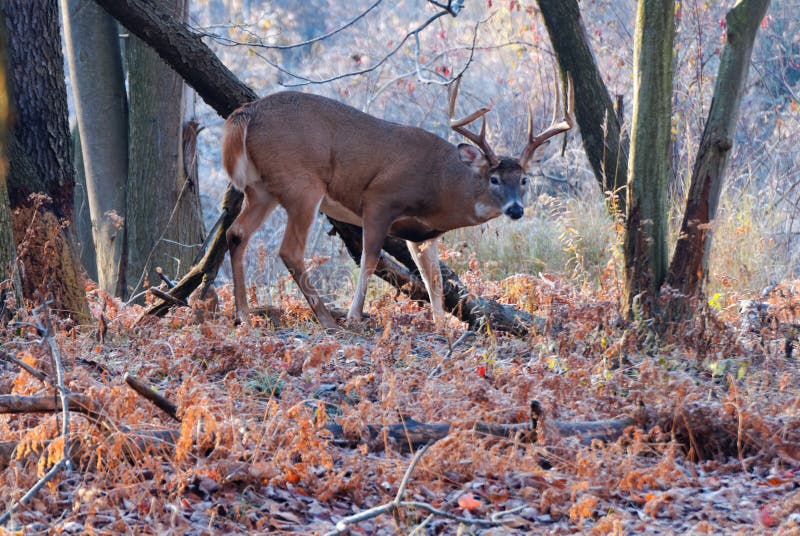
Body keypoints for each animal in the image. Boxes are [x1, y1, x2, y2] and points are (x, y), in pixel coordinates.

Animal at [222, 76, 574, 330]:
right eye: (494, 179)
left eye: (524, 180)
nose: (516, 209)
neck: (439, 186)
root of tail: (246, 113)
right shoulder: (379, 199)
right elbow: (370, 260)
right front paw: (355, 317)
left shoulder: (422, 235)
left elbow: (434, 280)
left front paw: (442, 327)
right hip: (303, 184)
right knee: (289, 250)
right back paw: (328, 321)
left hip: (261, 189)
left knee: (236, 233)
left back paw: (244, 317)